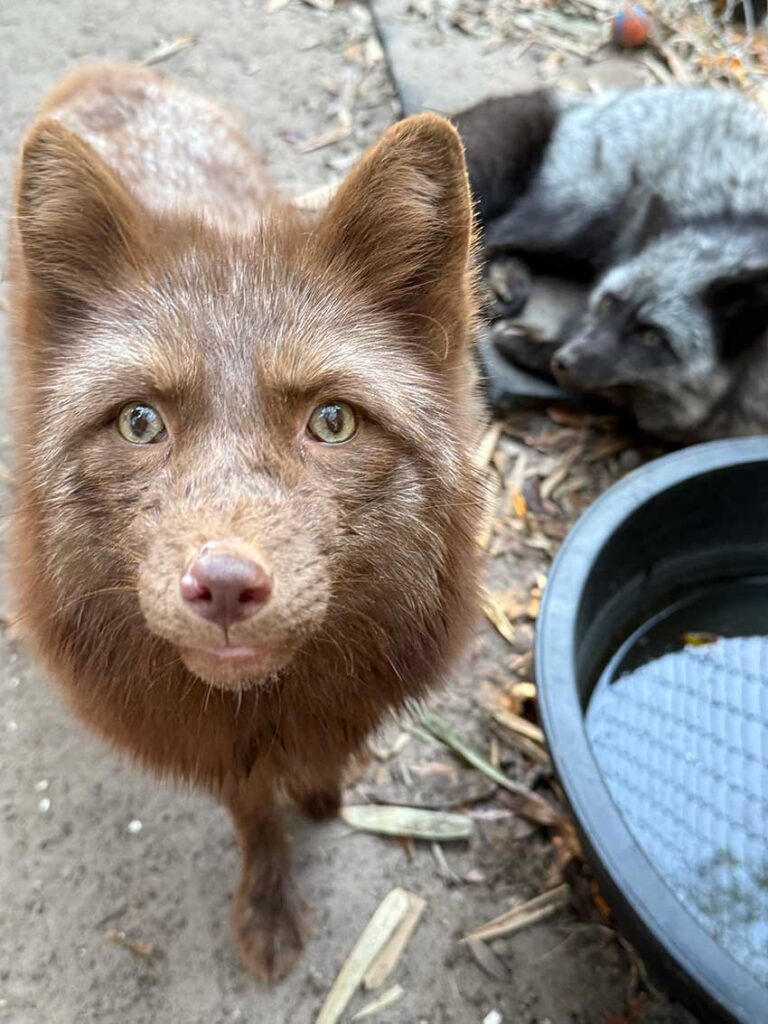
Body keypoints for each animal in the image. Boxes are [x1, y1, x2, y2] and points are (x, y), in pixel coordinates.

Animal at [8, 64, 485, 980]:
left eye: (333, 421)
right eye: (140, 423)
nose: (224, 586)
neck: (267, 709)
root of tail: (109, 74)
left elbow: (321, 762)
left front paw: (323, 792)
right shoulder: (211, 749)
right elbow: (255, 817)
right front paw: (268, 903)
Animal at [454, 86, 768, 441]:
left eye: (651, 337)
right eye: (608, 304)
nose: (564, 361)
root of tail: (585, 102)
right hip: (580, 221)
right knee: (493, 234)